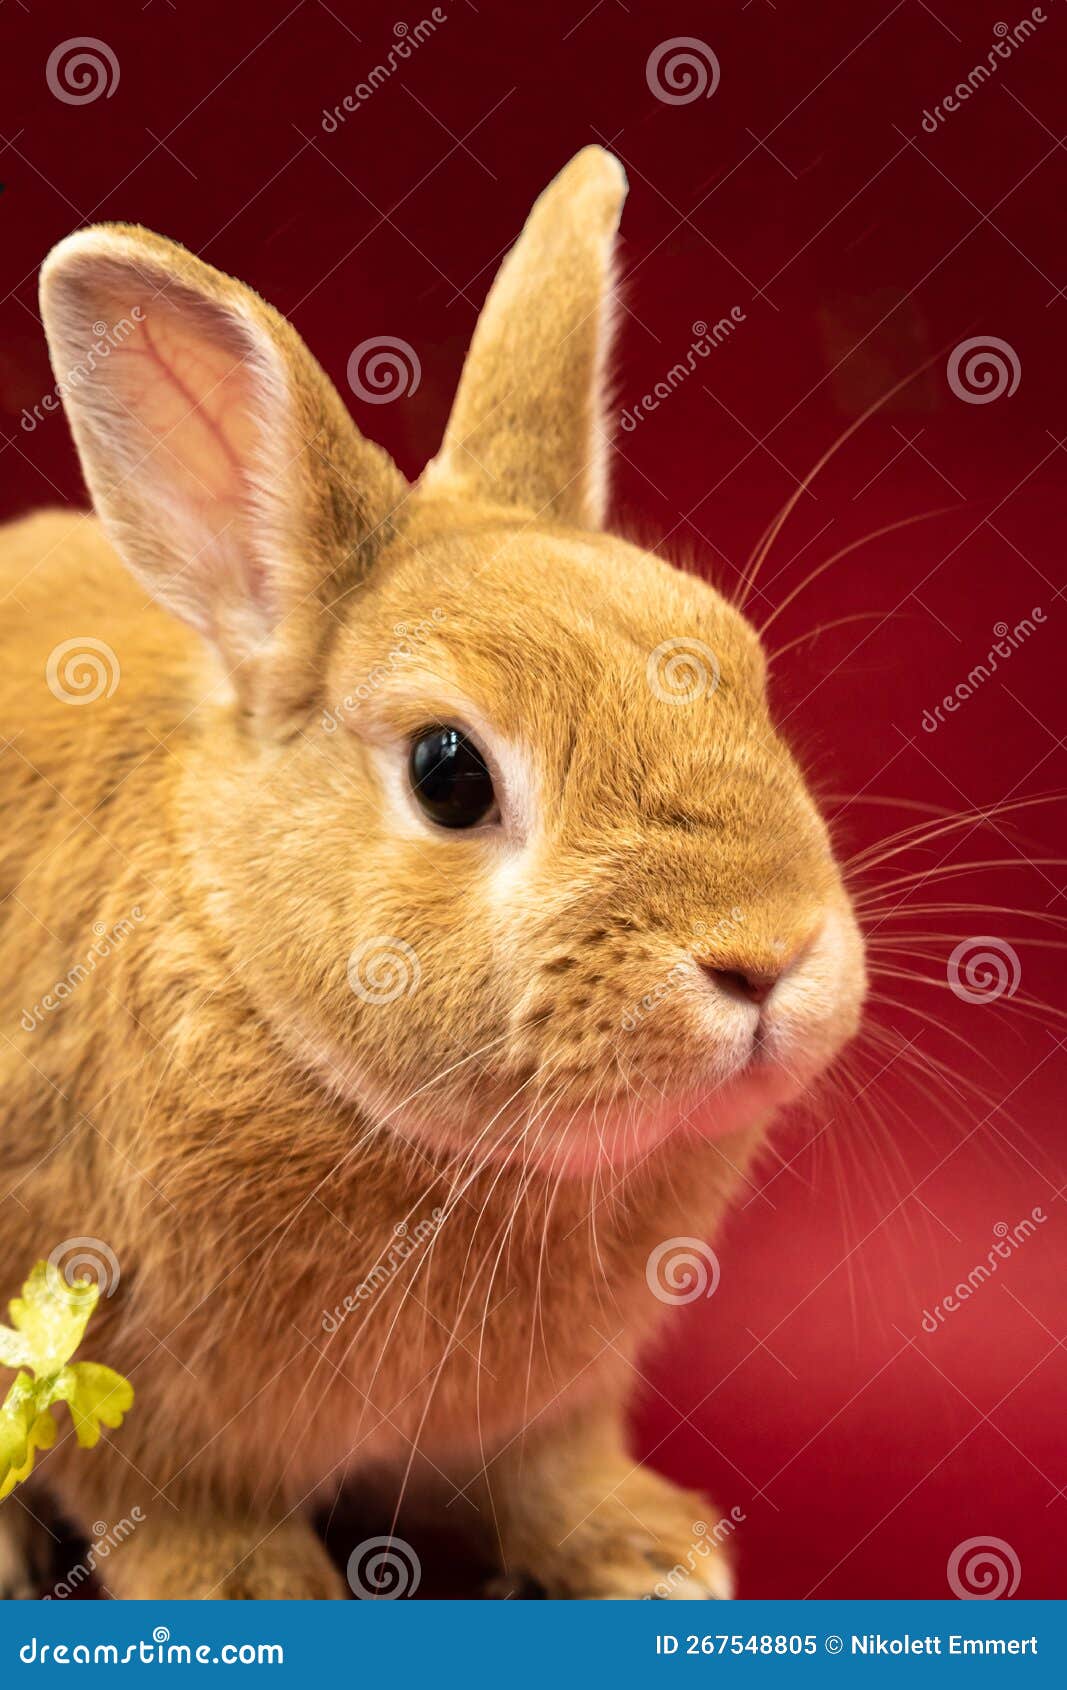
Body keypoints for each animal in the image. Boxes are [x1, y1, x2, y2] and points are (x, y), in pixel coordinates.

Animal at [0, 145, 865, 1600]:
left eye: (740, 670)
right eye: (448, 773)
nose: (765, 952)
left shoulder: (547, 1410)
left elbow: (550, 1473)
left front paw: (652, 1558)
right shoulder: (137, 1403)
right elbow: (177, 1514)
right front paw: (266, 1595)